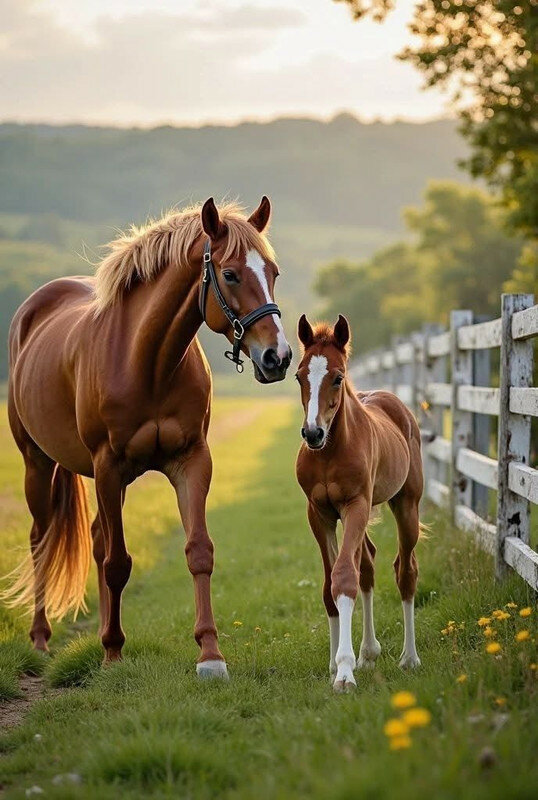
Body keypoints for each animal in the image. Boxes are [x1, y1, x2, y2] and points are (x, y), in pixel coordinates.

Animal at [4, 197, 291, 678]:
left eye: (272, 272)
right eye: (231, 274)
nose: (278, 357)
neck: (147, 360)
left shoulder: (191, 461)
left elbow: (198, 552)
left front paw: (210, 655)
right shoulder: (108, 465)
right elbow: (118, 563)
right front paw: (113, 654)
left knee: (98, 538)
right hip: (38, 465)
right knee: (42, 542)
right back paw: (43, 639)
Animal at [294, 314, 423, 692]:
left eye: (338, 377)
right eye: (299, 375)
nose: (313, 433)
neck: (329, 453)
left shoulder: (356, 506)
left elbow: (344, 578)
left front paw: (345, 671)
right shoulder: (319, 514)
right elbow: (330, 586)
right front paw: (335, 664)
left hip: (406, 505)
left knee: (405, 570)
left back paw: (409, 658)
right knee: (368, 565)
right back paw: (369, 652)